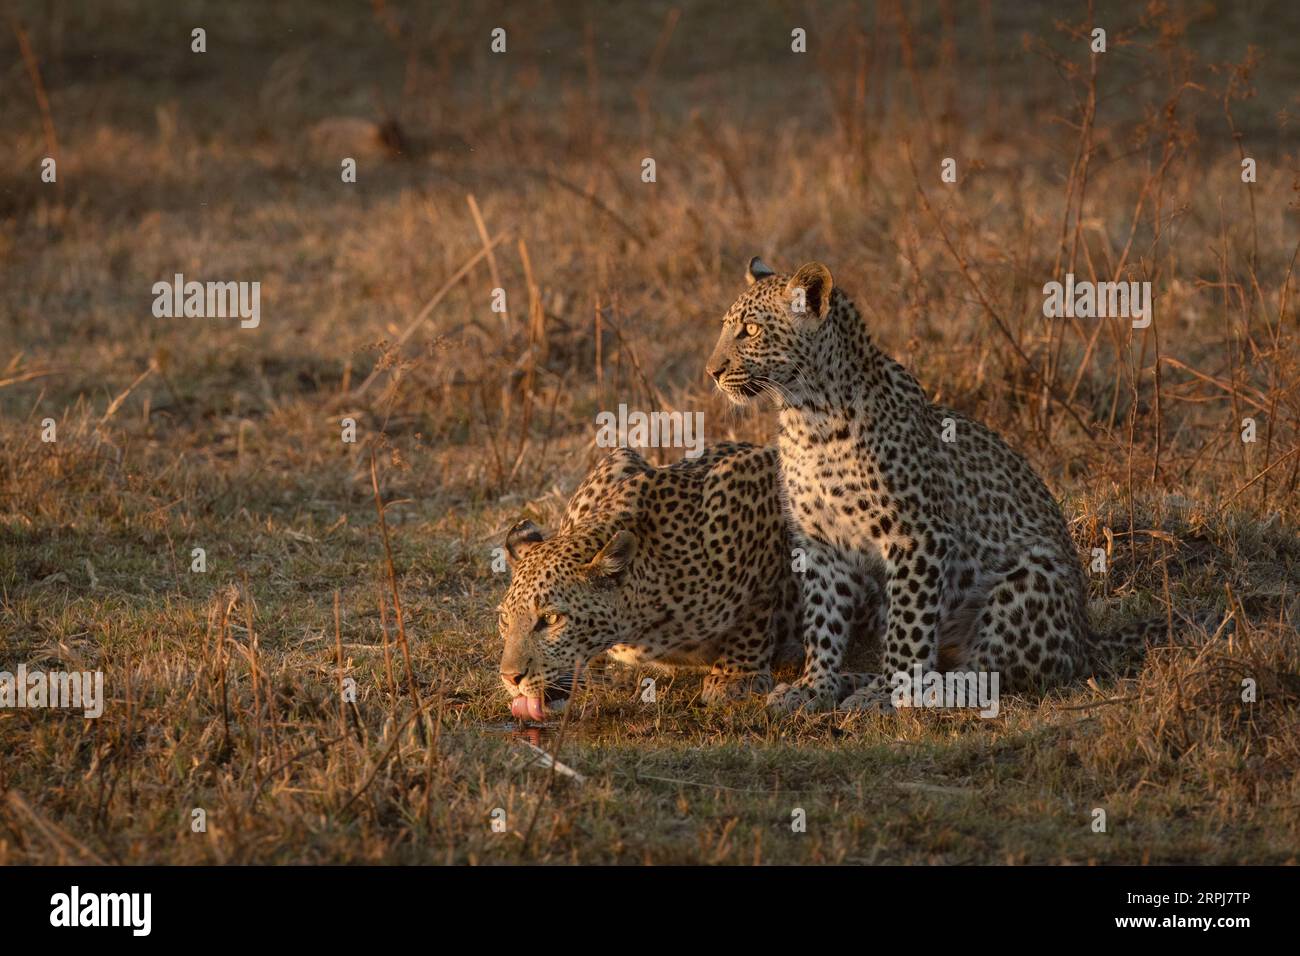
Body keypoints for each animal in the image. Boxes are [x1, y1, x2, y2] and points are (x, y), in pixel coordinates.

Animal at [497, 442, 819, 721]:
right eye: (504, 620)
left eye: (551, 619)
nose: (510, 677)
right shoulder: (616, 461)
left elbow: (756, 608)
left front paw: (737, 676)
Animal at [706, 257, 1199, 714]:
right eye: (727, 328)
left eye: (750, 330)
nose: (712, 371)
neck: (806, 417)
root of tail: (1085, 637)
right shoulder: (822, 543)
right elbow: (823, 622)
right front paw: (815, 687)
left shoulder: (918, 537)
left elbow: (907, 632)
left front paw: (887, 695)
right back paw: (854, 679)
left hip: (1031, 576)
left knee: (986, 675)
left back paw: (910, 690)